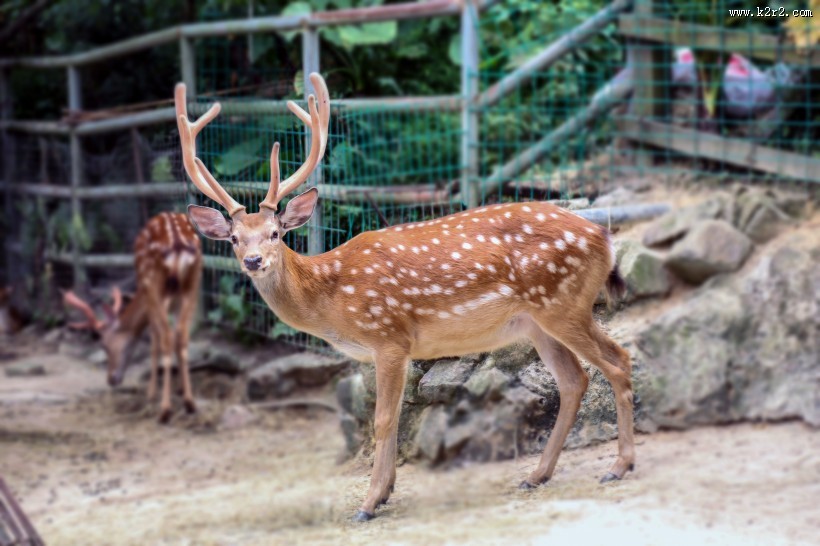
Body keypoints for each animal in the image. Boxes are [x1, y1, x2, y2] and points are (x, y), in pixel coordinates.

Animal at [63, 211, 203, 424]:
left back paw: (165, 410)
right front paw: (179, 389)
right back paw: (189, 402)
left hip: (155, 283)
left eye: (104, 344)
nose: (111, 379)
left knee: (166, 338)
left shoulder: (149, 294)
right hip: (192, 286)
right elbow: (179, 339)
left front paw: (151, 393)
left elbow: (154, 342)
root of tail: (179, 246)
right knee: (182, 336)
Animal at [175, 72, 634, 522]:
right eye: (234, 238)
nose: (253, 261)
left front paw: (368, 503)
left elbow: (382, 418)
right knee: (574, 379)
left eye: (275, 233)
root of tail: (604, 237)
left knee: (617, 360)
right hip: (537, 322)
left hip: (564, 303)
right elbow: (394, 416)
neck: (331, 299)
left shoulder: (389, 336)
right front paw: (385, 493)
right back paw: (536, 475)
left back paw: (619, 466)